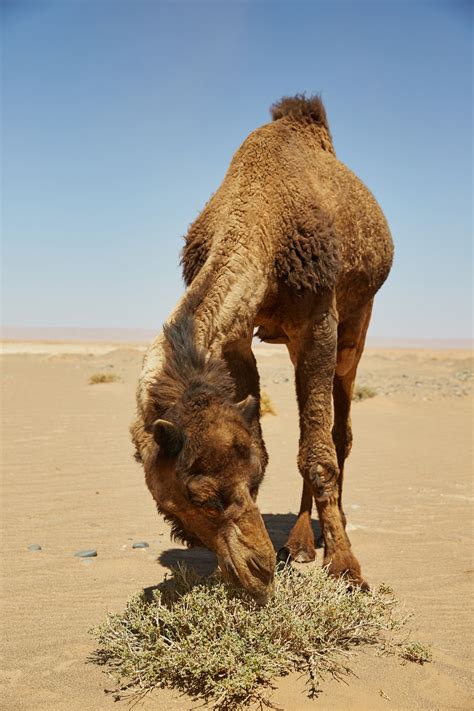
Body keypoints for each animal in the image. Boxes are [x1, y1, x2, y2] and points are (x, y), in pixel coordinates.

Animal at [131, 95, 393, 604]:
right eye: (196, 495)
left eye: (251, 480)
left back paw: (327, 533)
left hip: (357, 319)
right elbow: (277, 438)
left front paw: (347, 568)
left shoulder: (320, 318)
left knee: (339, 431)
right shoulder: (237, 335)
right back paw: (301, 543)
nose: (259, 568)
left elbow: (318, 453)